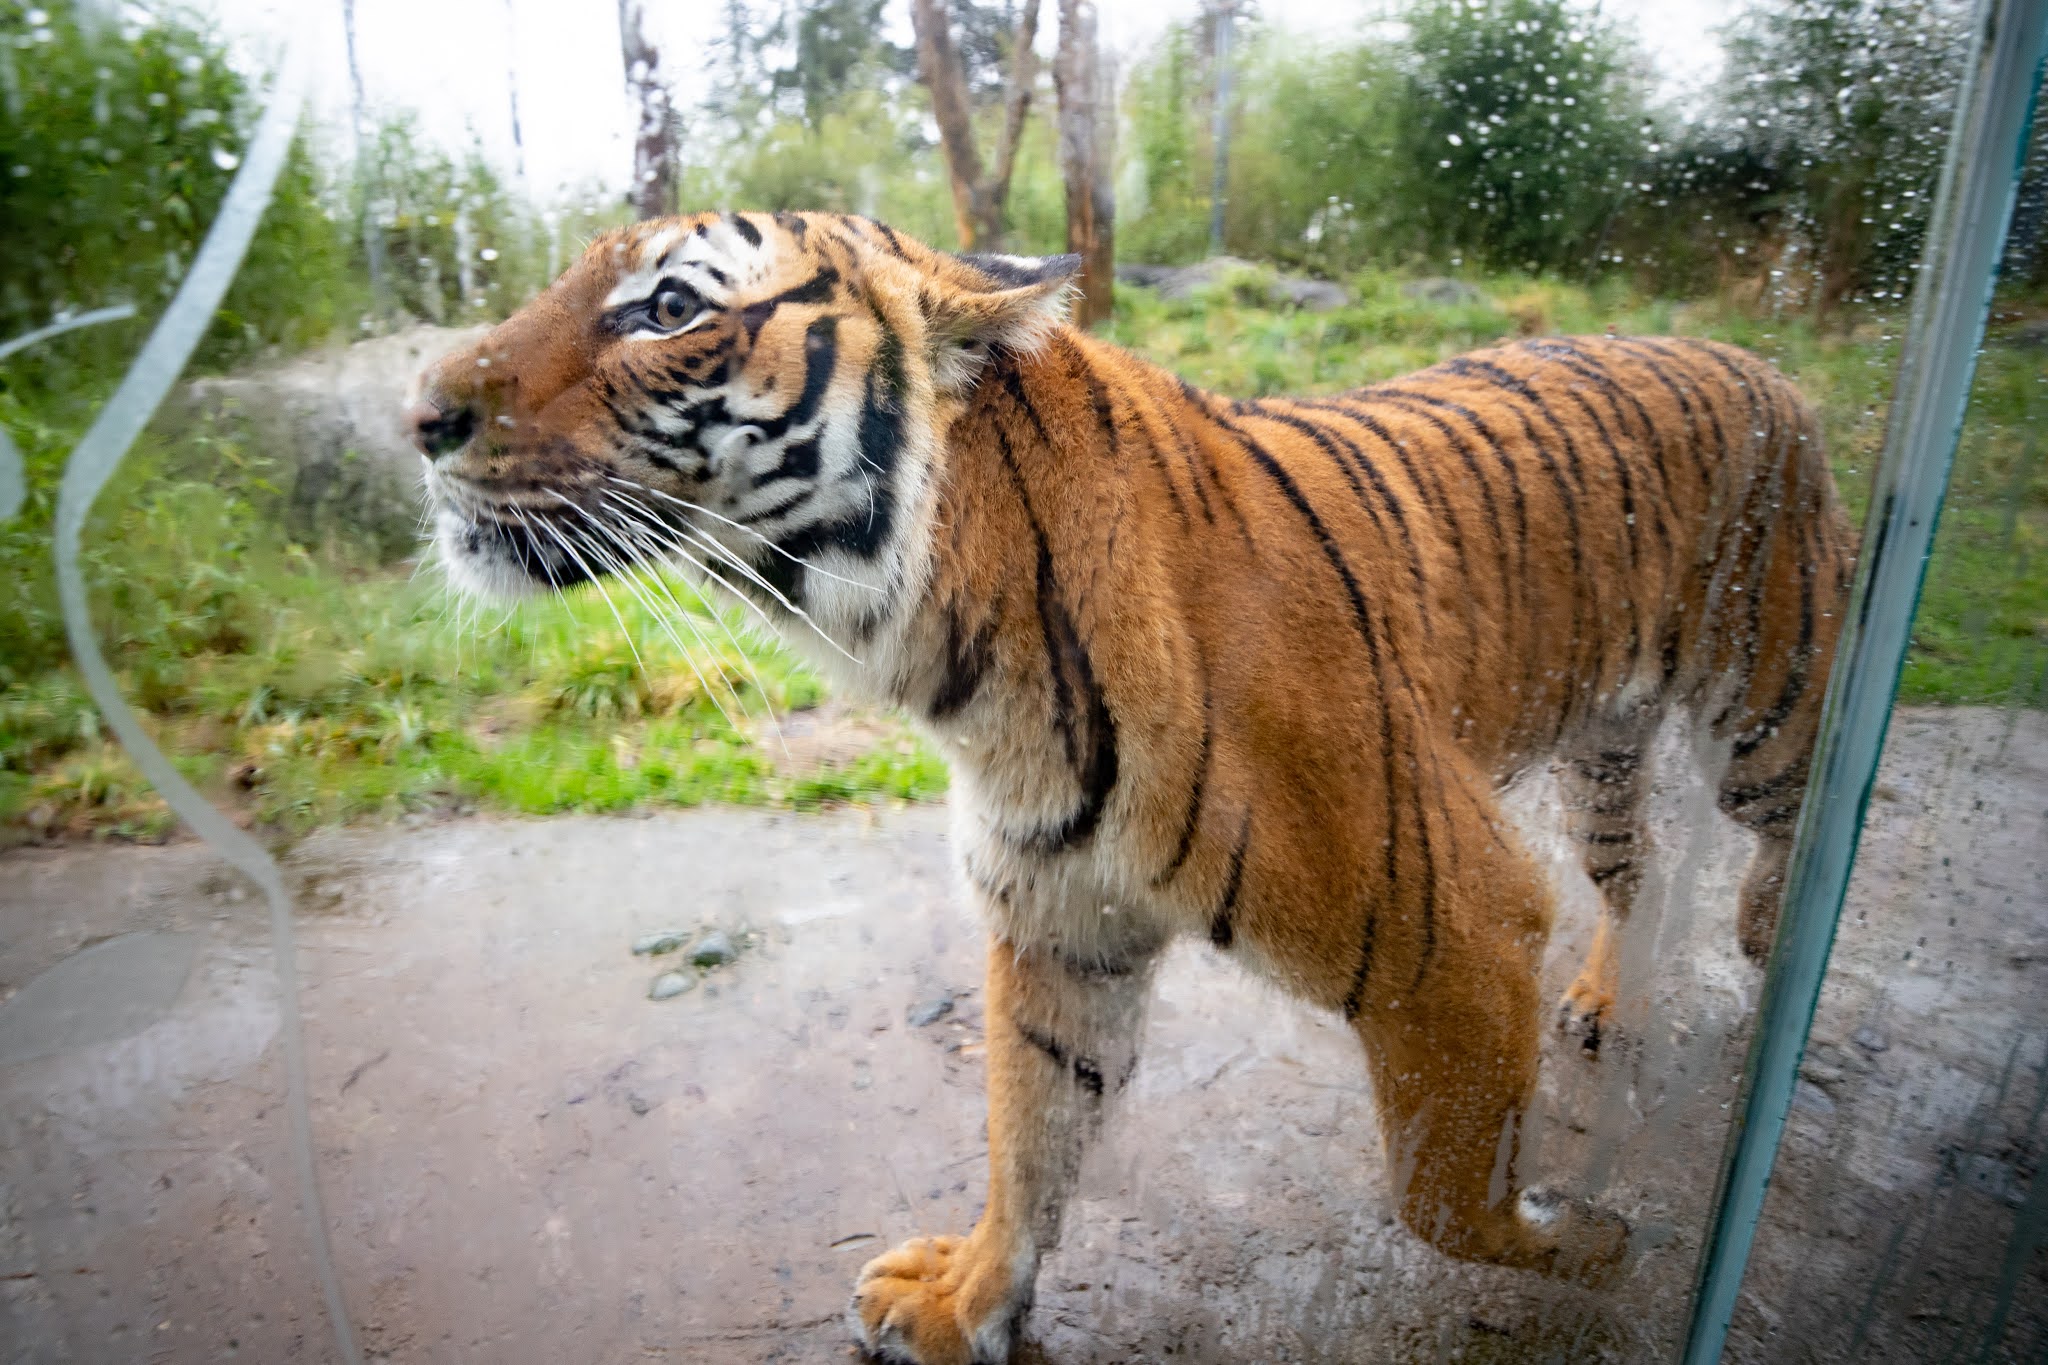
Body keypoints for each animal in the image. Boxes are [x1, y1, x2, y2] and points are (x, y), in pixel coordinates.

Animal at [407, 210, 1853, 1364]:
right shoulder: (1060, 924)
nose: (418, 417)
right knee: (1635, 867)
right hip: (1605, 743)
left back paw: (1766, 940)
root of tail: (1767, 363)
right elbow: (1028, 1136)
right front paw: (965, 1302)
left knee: (1791, 823)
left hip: (1765, 708)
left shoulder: (1456, 922)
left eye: (669, 308)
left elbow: (1444, 1199)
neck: (951, 652)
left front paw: (1598, 1243)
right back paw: (1608, 996)